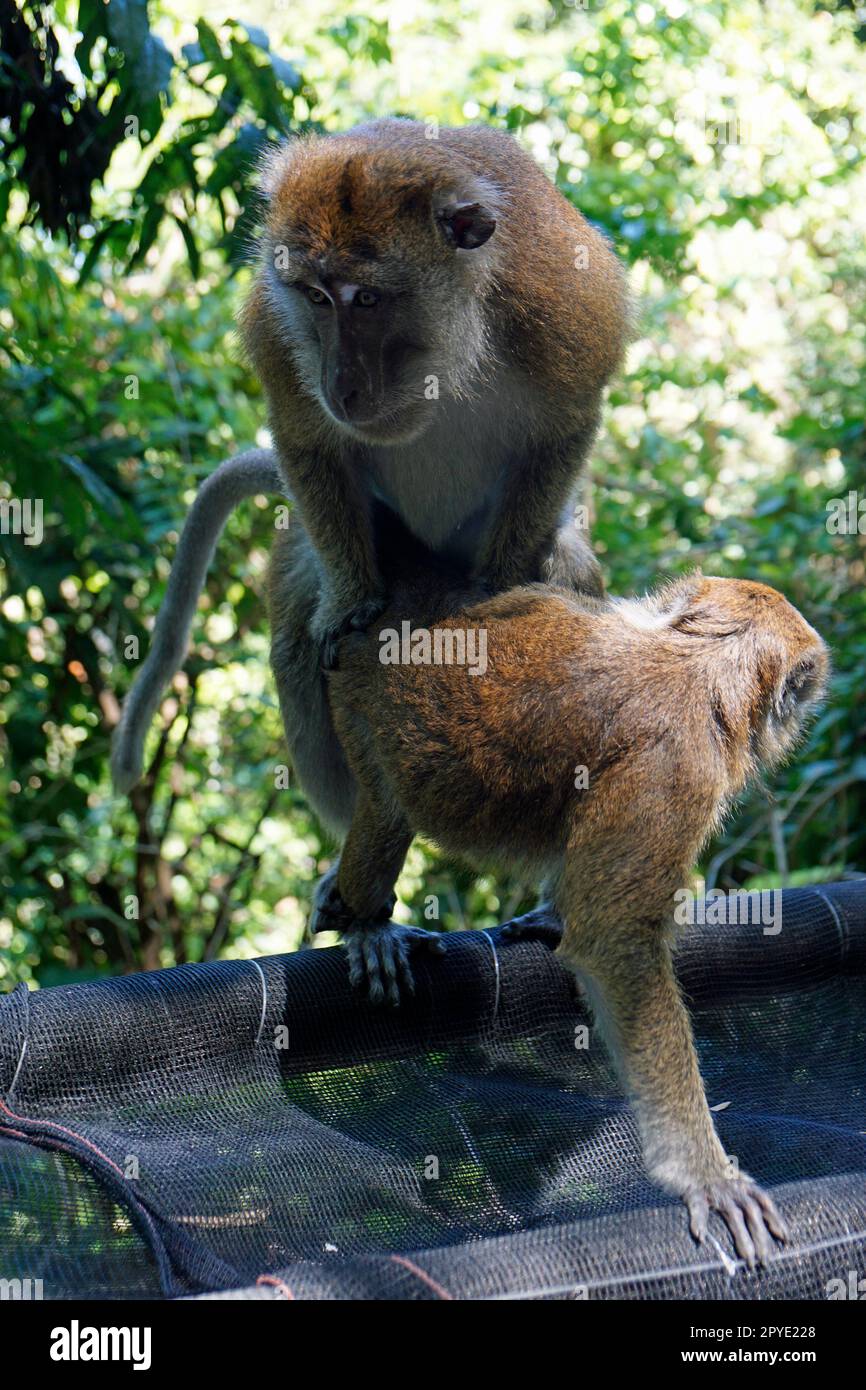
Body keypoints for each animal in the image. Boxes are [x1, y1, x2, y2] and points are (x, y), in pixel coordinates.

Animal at [112, 119, 630, 839]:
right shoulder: (276, 331)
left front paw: (500, 586)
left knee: (571, 570)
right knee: (297, 630)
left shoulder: (559, 304)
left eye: (367, 299)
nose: (340, 385)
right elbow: (306, 438)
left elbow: (566, 424)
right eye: (315, 297)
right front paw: (353, 600)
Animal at [314, 560, 828, 1266]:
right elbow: (616, 941)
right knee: (388, 805)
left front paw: (552, 916)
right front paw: (701, 1171)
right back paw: (365, 917)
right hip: (361, 707)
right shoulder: (681, 762)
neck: (702, 661)